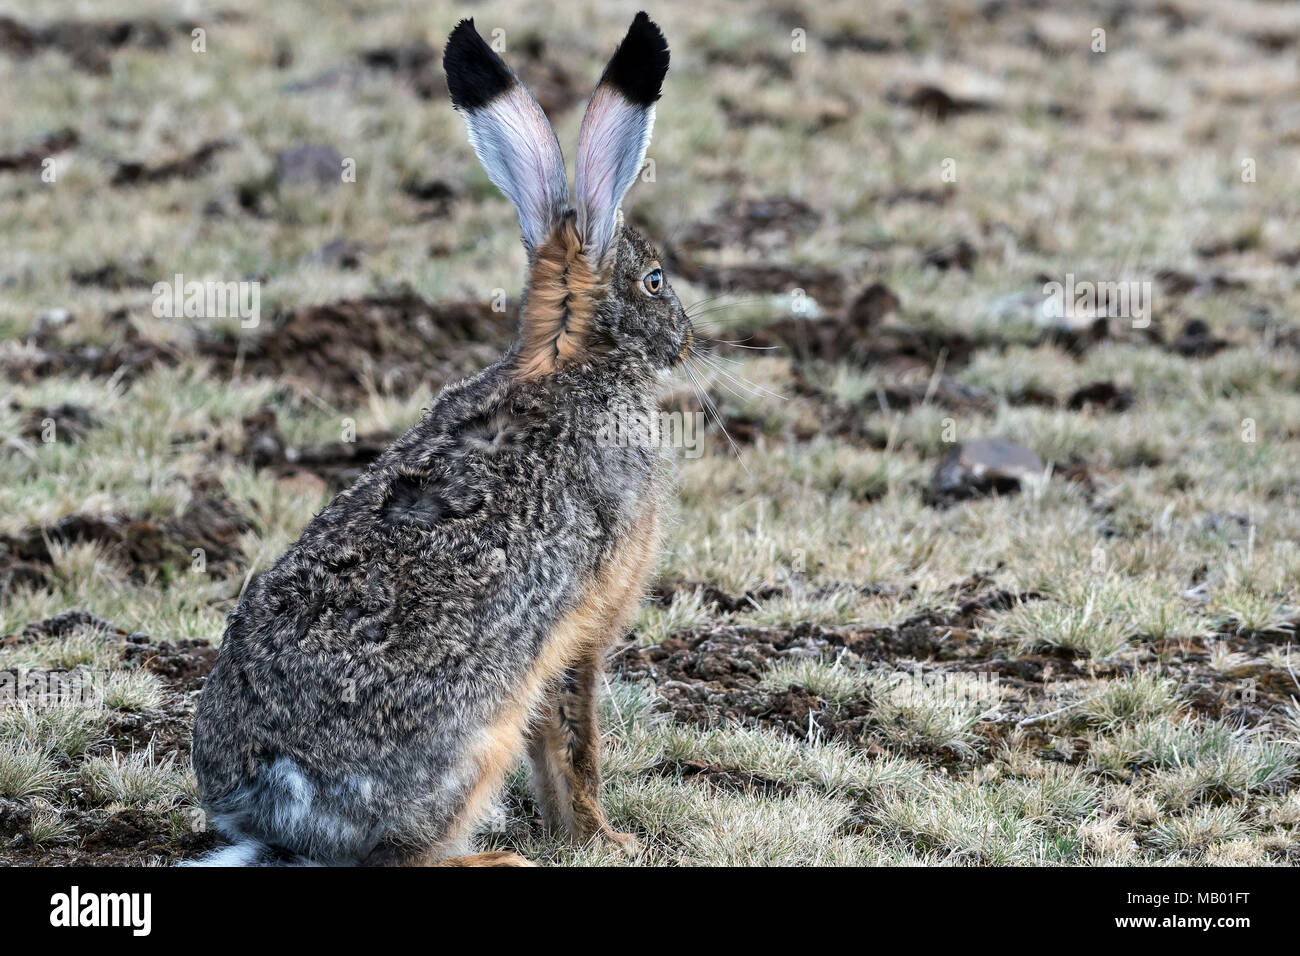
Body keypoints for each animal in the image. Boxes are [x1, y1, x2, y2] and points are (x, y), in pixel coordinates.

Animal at [188, 12, 689, 866]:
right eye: (654, 281)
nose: (687, 340)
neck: (569, 356)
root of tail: (274, 815)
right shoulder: (580, 629)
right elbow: (576, 738)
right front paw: (604, 839)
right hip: (475, 744)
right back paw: (499, 858)